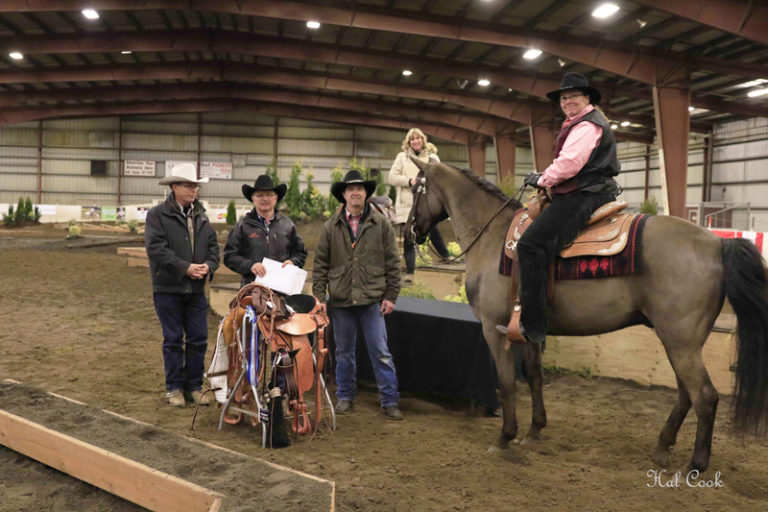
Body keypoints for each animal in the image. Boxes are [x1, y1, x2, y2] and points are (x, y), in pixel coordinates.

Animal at [404, 158, 768, 472]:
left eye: (415, 187)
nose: (410, 230)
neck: (492, 238)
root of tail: (716, 244)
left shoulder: (494, 330)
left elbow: (506, 383)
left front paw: (505, 437)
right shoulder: (528, 329)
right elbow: (534, 376)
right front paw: (534, 430)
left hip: (680, 341)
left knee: (704, 397)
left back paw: (695, 464)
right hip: (680, 341)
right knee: (685, 394)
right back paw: (663, 447)